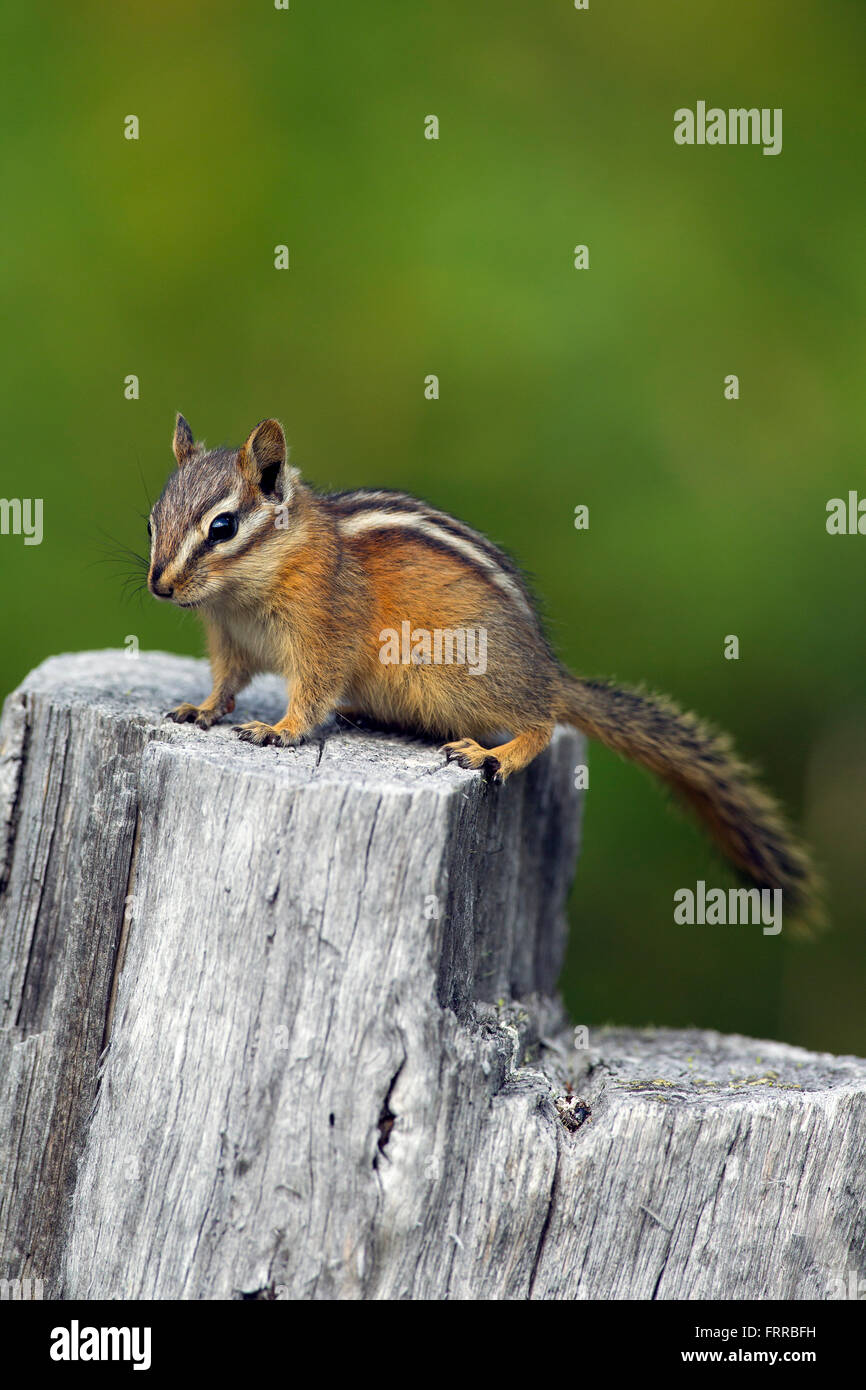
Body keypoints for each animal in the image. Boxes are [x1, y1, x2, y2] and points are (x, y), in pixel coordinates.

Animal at [147, 413, 821, 929]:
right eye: (153, 518)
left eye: (224, 527)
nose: (159, 586)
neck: (245, 590)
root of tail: (549, 671)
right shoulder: (229, 640)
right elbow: (227, 684)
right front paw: (200, 709)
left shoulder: (324, 631)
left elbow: (312, 690)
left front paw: (280, 729)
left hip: (471, 679)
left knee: (541, 722)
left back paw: (494, 754)